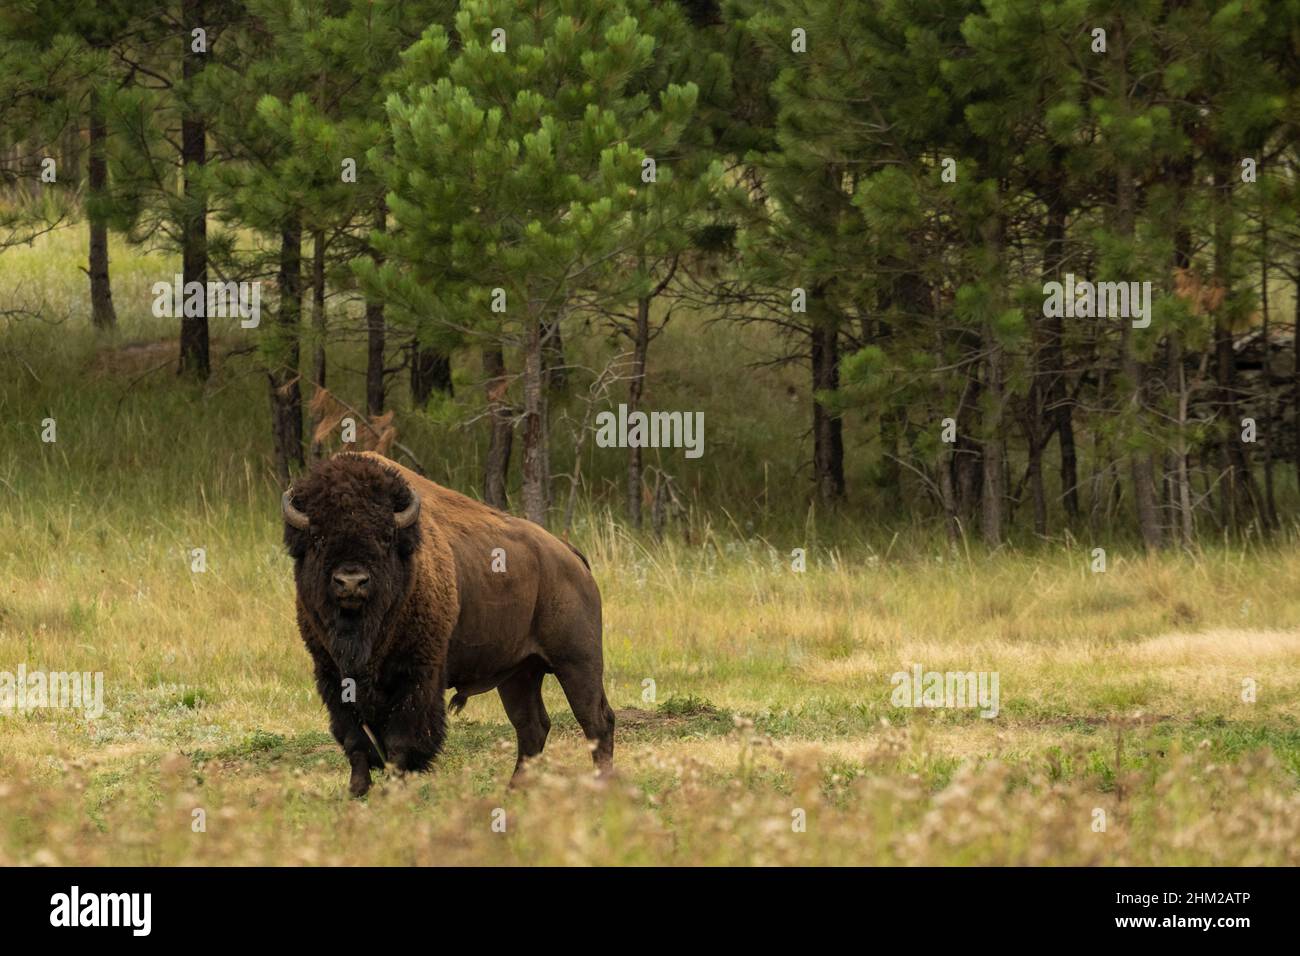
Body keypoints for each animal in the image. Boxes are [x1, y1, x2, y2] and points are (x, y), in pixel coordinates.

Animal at [282, 451, 613, 796]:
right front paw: (357, 790)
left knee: (596, 720)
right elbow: (354, 737)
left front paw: (395, 788)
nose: (351, 582)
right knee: (532, 725)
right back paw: (514, 788)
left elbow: (400, 738)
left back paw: (601, 784)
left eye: (385, 537)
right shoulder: (333, 675)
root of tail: (570, 556)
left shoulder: (417, 675)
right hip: (519, 674)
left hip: (577, 662)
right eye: (317, 537)